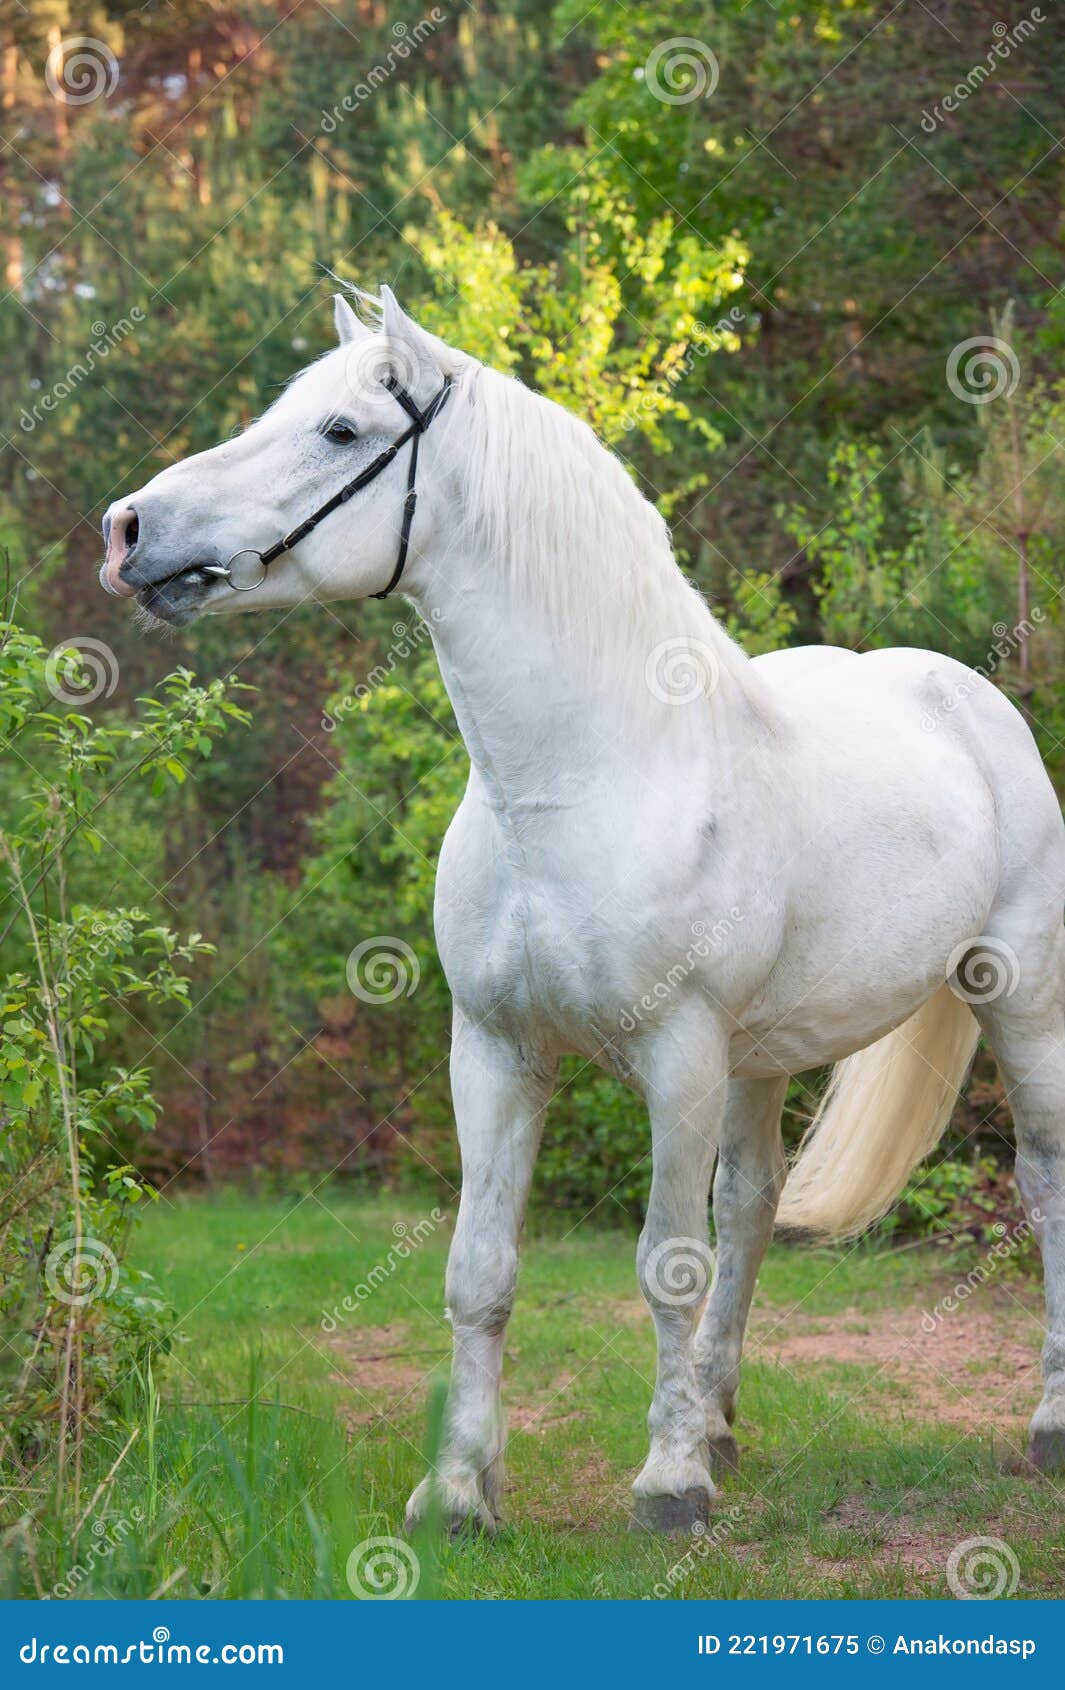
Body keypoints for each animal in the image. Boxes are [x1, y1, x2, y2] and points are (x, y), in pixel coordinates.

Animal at [101, 286, 1065, 1536]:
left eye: (341, 431)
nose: (128, 529)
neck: (587, 776)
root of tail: (966, 691)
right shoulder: (496, 1051)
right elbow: (481, 1269)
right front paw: (458, 1492)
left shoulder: (678, 1055)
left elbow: (666, 1261)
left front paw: (668, 1487)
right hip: (763, 1055)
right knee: (753, 1205)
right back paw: (717, 1417)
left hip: (1016, 996)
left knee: (1041, 1183)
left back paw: (1042, 1425)